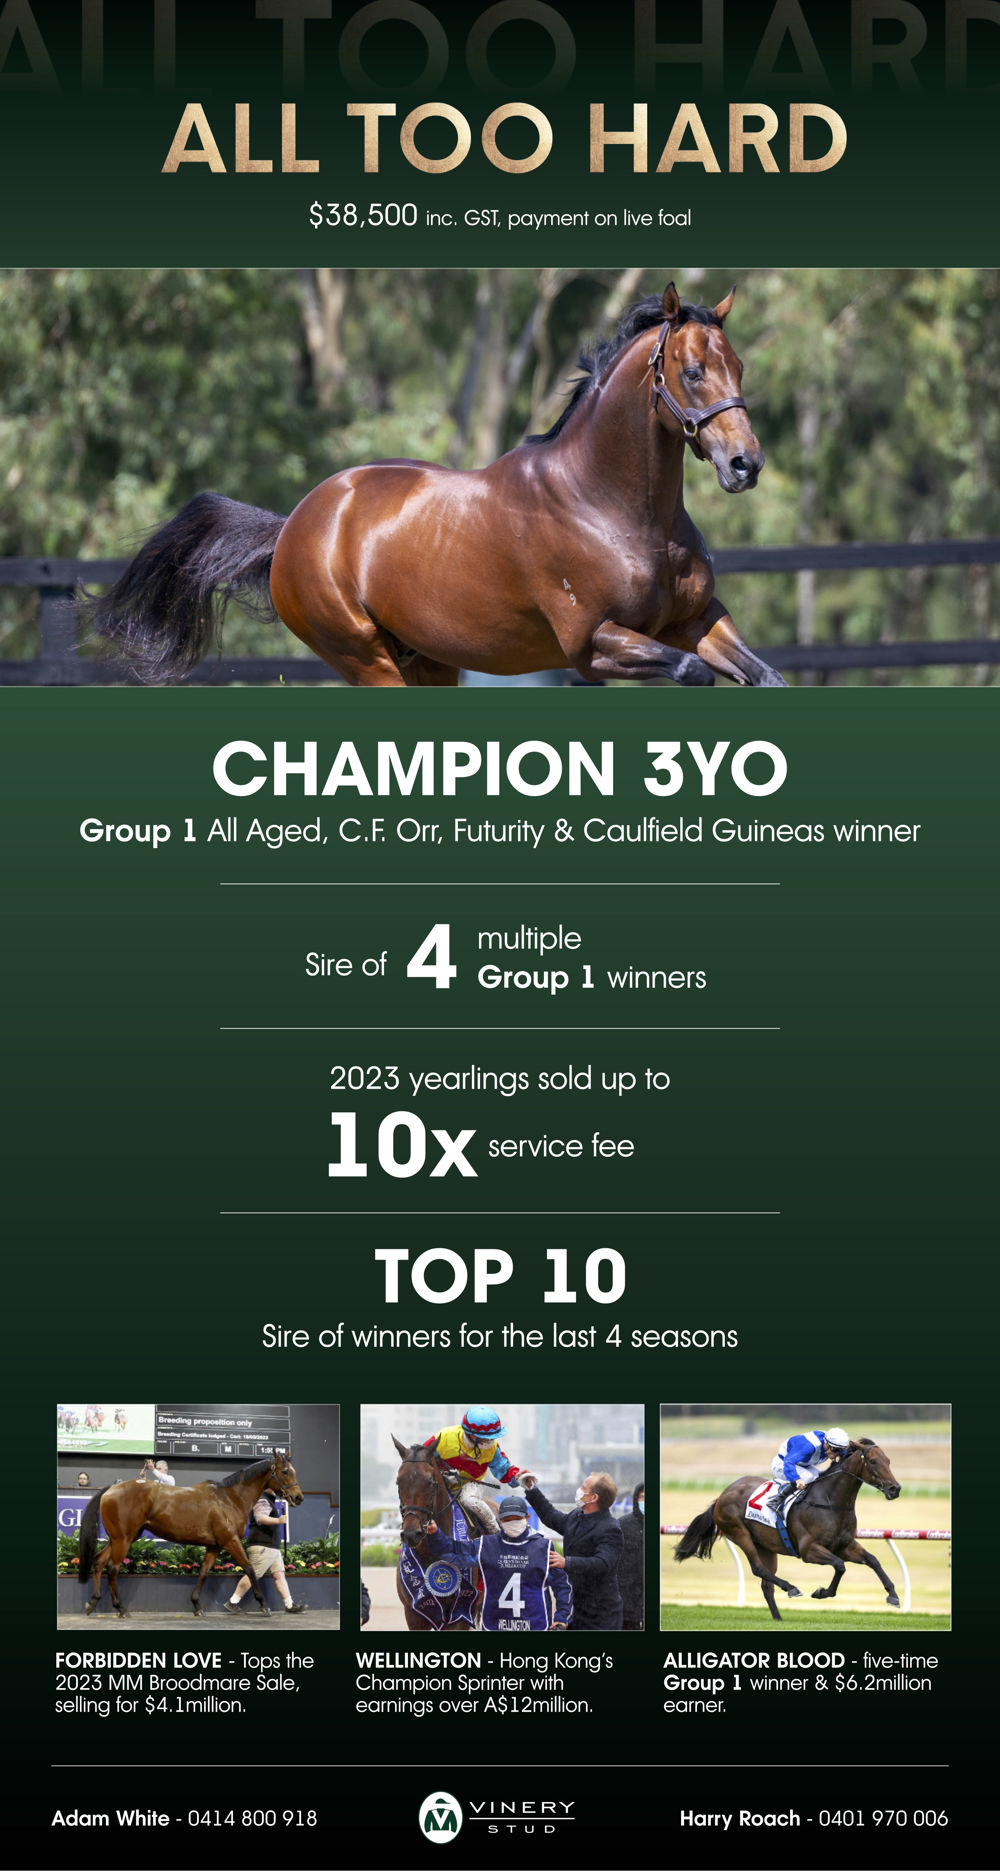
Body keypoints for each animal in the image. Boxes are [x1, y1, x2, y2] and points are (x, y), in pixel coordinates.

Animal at [78, 1448, 303, 1620]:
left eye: (293, 1471)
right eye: (284, 1471)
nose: (298, 1497)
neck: (229, 1498)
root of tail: (111, 1489)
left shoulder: (214, 1545)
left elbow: (203, 1573)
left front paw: (196, 1606)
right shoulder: (230, 1541)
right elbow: (249, 1569)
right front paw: (264, 1605)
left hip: (120, 1538)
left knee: (99, 1561)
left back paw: (92, 1602)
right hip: (123, 1539)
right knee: (112, 1568)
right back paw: (121, 1608)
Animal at [89, 282, 785, 690]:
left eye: (738, 365)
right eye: (692, 371)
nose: (745, 464)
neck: (612, 508)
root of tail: (295, 525)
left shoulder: (697, 620)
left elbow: (764, 676)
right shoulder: (594, 643)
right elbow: (693, 673)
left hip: (430, 661)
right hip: (367, 659)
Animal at [391, 1434, 482, 1634]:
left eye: (430, 1482)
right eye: (399, 1482)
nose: (412, 1534)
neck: (431, 1554)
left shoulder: (461, 1613)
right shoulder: (414, 1614)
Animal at [674, 1439, 903, 1622]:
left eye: (889, 1460)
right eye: (873, 1462)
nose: (895, 1489)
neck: (830, 1501)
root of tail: (722, 1495)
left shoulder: (845, 1546)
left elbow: (872, 1560)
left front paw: (893, 1595)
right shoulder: (809, 1551)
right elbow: (840, 1566)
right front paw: (822, 1592)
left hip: (765, 1546)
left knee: (766, 1585)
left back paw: (778, 1618)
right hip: (740, 1533)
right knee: (758, 1569)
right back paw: (791, 1588)